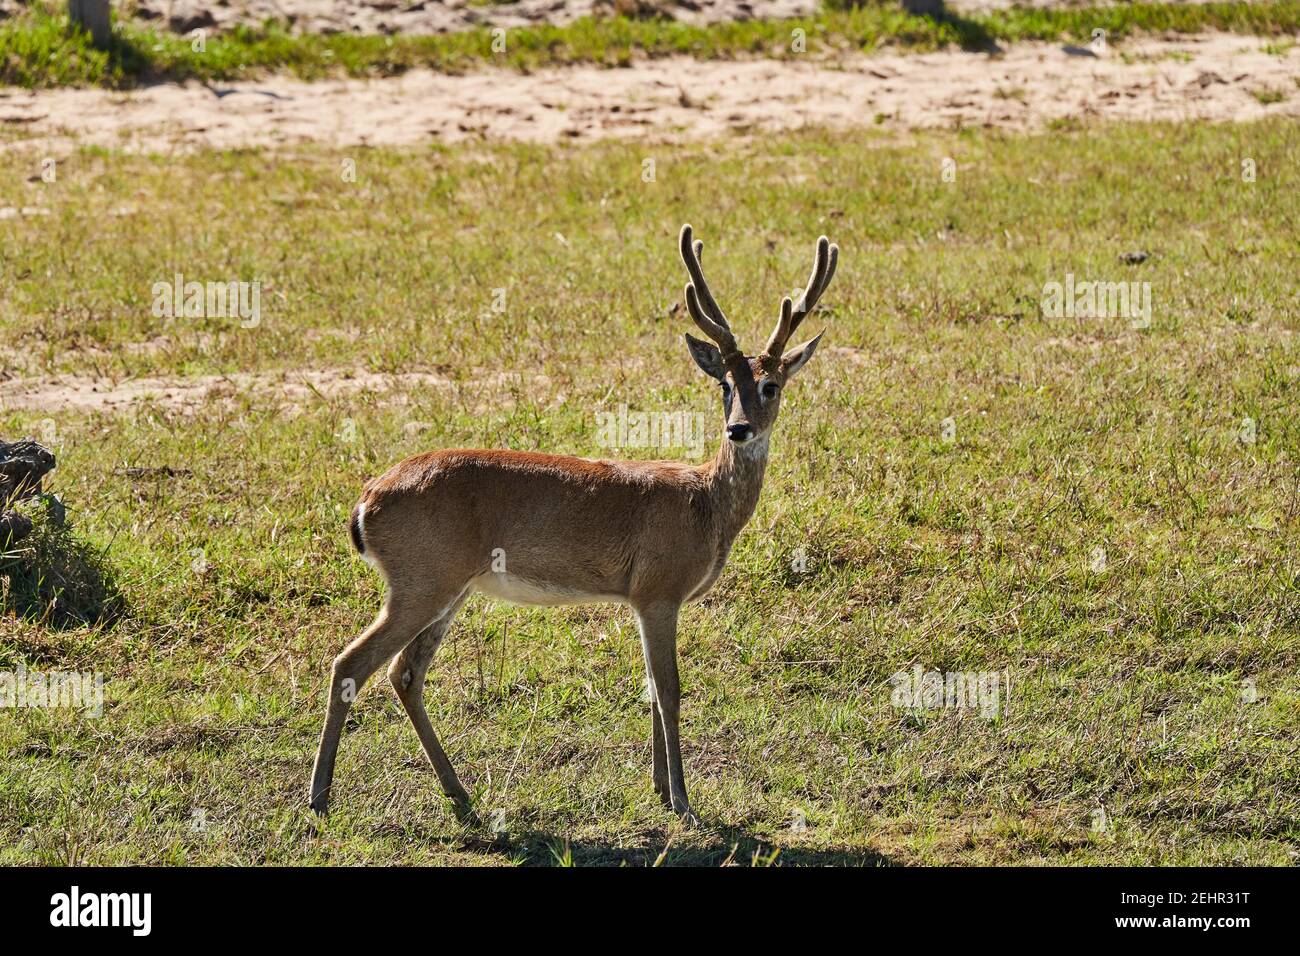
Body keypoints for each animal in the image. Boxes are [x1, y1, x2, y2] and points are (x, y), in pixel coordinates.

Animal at [309, 224, 839, 823]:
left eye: (772, 385)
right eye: (724, 384)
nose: (739, 428)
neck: (703, 504)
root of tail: (365, 503)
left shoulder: (641, 598)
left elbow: (651, 689)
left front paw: (660, 788)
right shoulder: (659, 591)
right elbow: (670, 689)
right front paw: (683, 801)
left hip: (448, 586)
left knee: (405, 672)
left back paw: (461, 796)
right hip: (421, 579)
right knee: (352, 662)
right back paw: (321, 796)